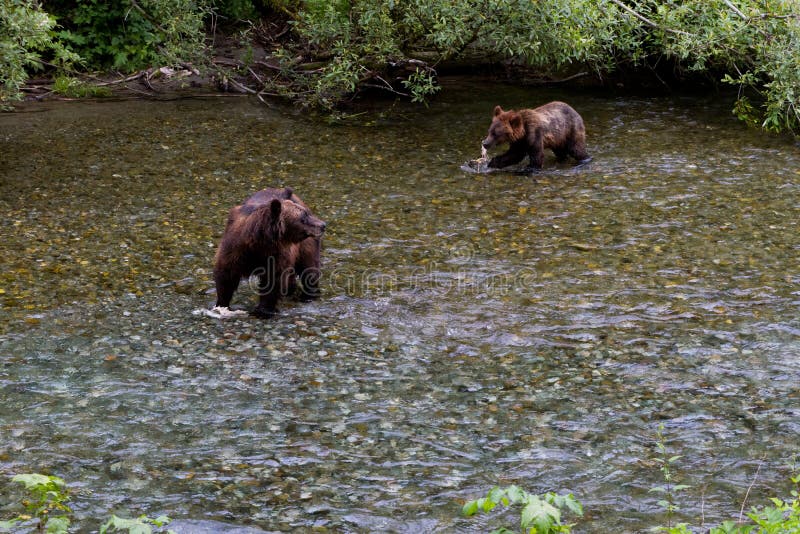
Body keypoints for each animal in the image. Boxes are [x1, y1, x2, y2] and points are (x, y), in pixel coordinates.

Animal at [213, 187, 326, 318]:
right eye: (303, 217)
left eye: (306, 214)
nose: (323, 225)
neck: (259, 243)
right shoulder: (234, 250)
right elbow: (225, 276)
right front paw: (222, 305)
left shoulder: (276, 256)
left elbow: (272, 282)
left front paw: (264, 310)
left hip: (306, 246)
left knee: (309, 270)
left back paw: (308, 295)